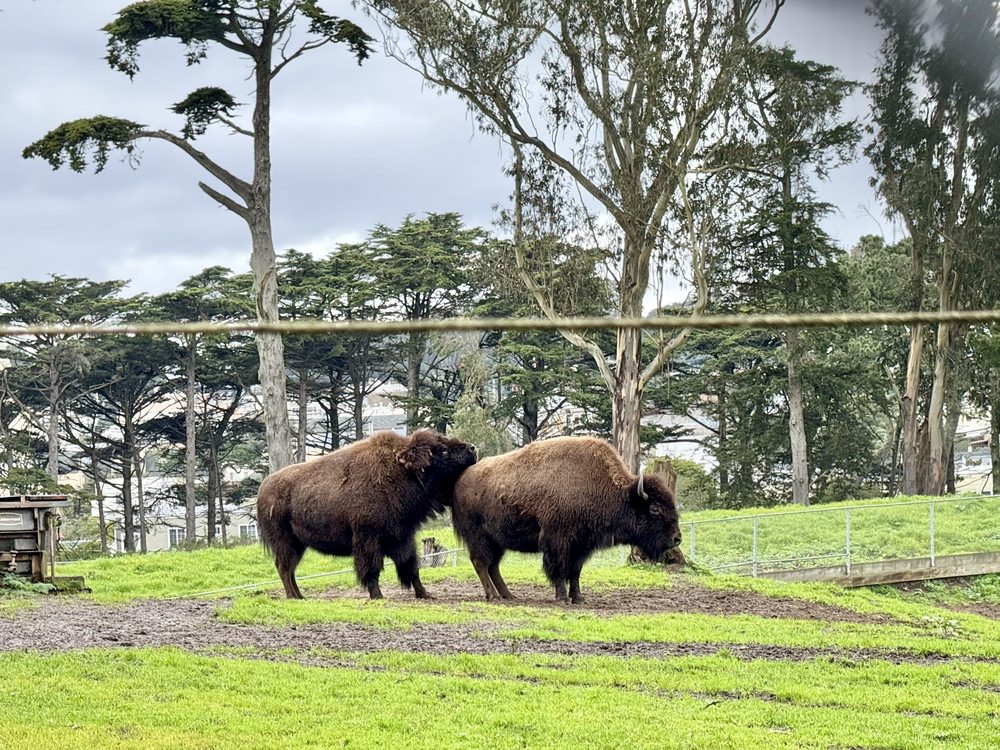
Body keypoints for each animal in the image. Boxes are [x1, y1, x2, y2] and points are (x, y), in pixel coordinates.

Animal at [257, 429, 477, 600]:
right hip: (285, 543)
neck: (401, 470)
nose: (472, 448)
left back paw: (300, 596)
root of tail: (263, 489)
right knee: (284, 567)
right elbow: (372, 569)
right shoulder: (368, 539)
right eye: (443, 451)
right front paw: (377, 596)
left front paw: (425, 594)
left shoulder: (402, 536)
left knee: (290, 569)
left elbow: (411, 567)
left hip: (298, 544)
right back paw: (293, 596)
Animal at [452, 437, 681, 603]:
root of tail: (461, 479)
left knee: (493, 566)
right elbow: (560, 570)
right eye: (654, 509)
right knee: (481, 563)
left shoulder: (582, 546)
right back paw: (493, 596)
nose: (677, 539)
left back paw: (508, 595)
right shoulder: (558, 542)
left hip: (498, 541)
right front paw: (562, 598)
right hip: (479, 537)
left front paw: (578, 598)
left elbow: (575, 572)